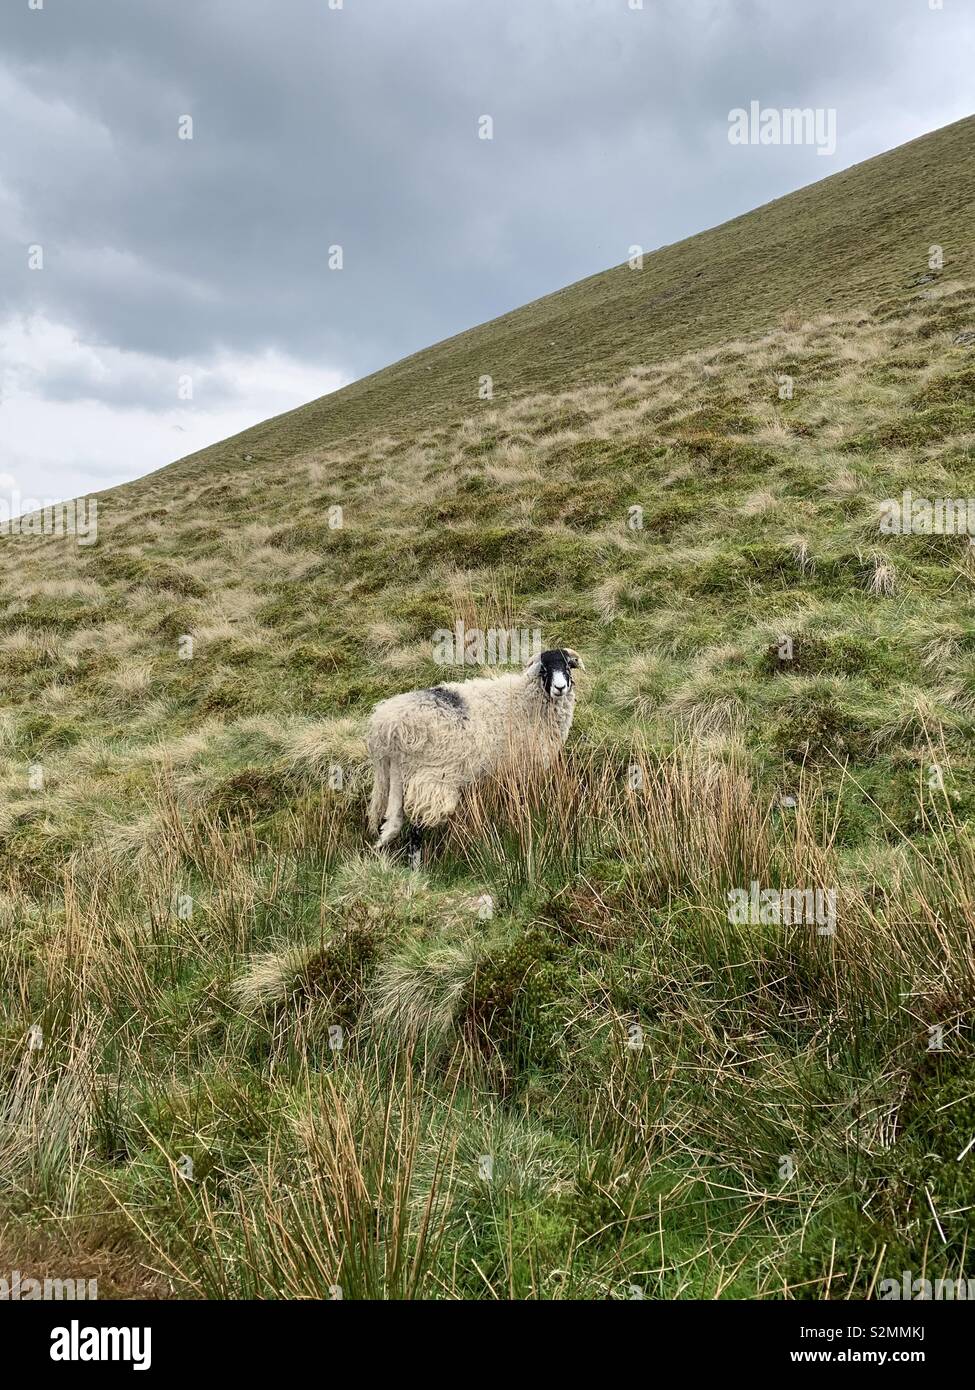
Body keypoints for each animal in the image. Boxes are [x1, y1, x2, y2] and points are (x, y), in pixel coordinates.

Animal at [367, 648, 585, 850]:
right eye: (544, 670)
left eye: (567, 667)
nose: (560, 687)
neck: (528, 700)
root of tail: (387, 722)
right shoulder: (523, 769)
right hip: (431, 780)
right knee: (417, 829)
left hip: (398, 773)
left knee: (392, 825)